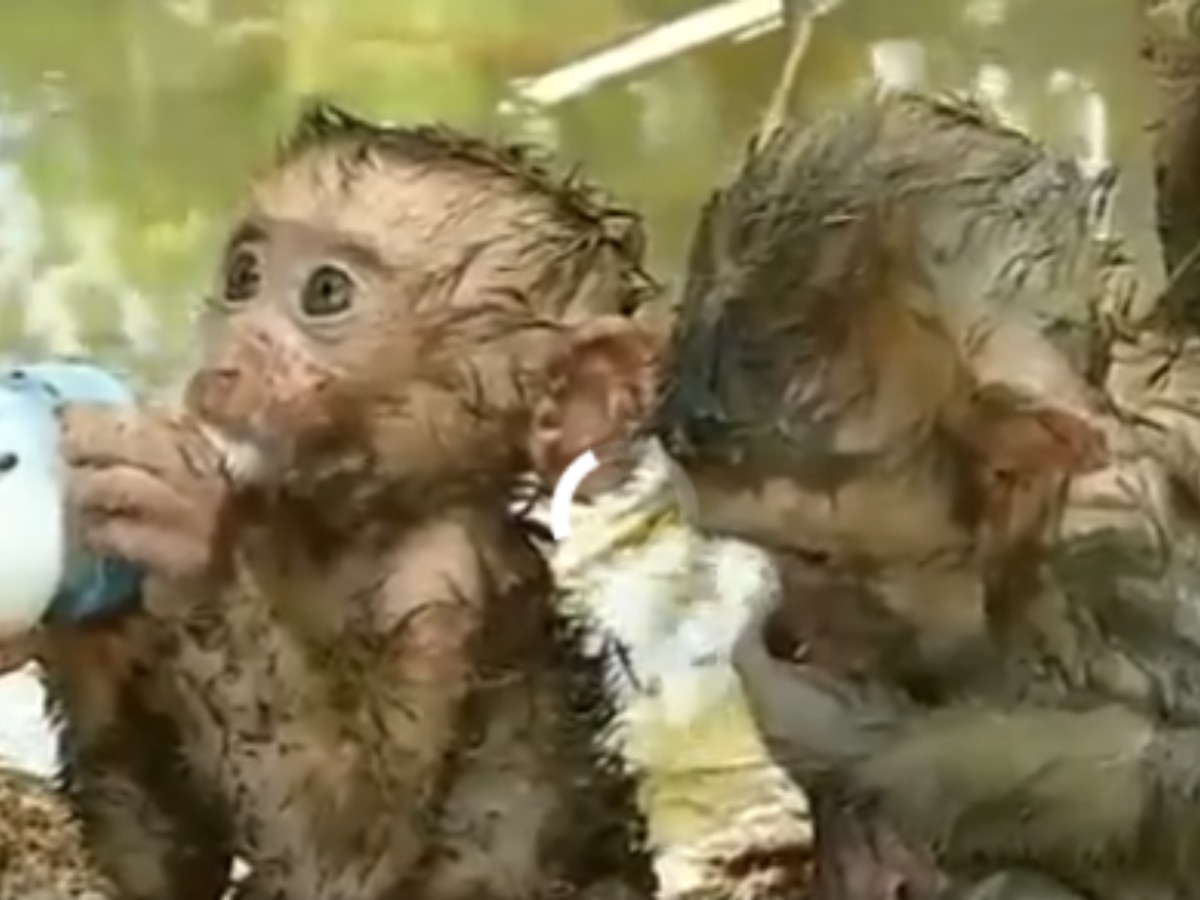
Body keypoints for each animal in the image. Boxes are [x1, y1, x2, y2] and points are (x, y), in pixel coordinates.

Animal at [39, 102, 661, 900]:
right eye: (243, 277)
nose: (227, 363)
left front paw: (185, 532)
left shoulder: (438, 584)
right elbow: (158, 871)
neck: (327, 535)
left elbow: (343, 854)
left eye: (327, 292)